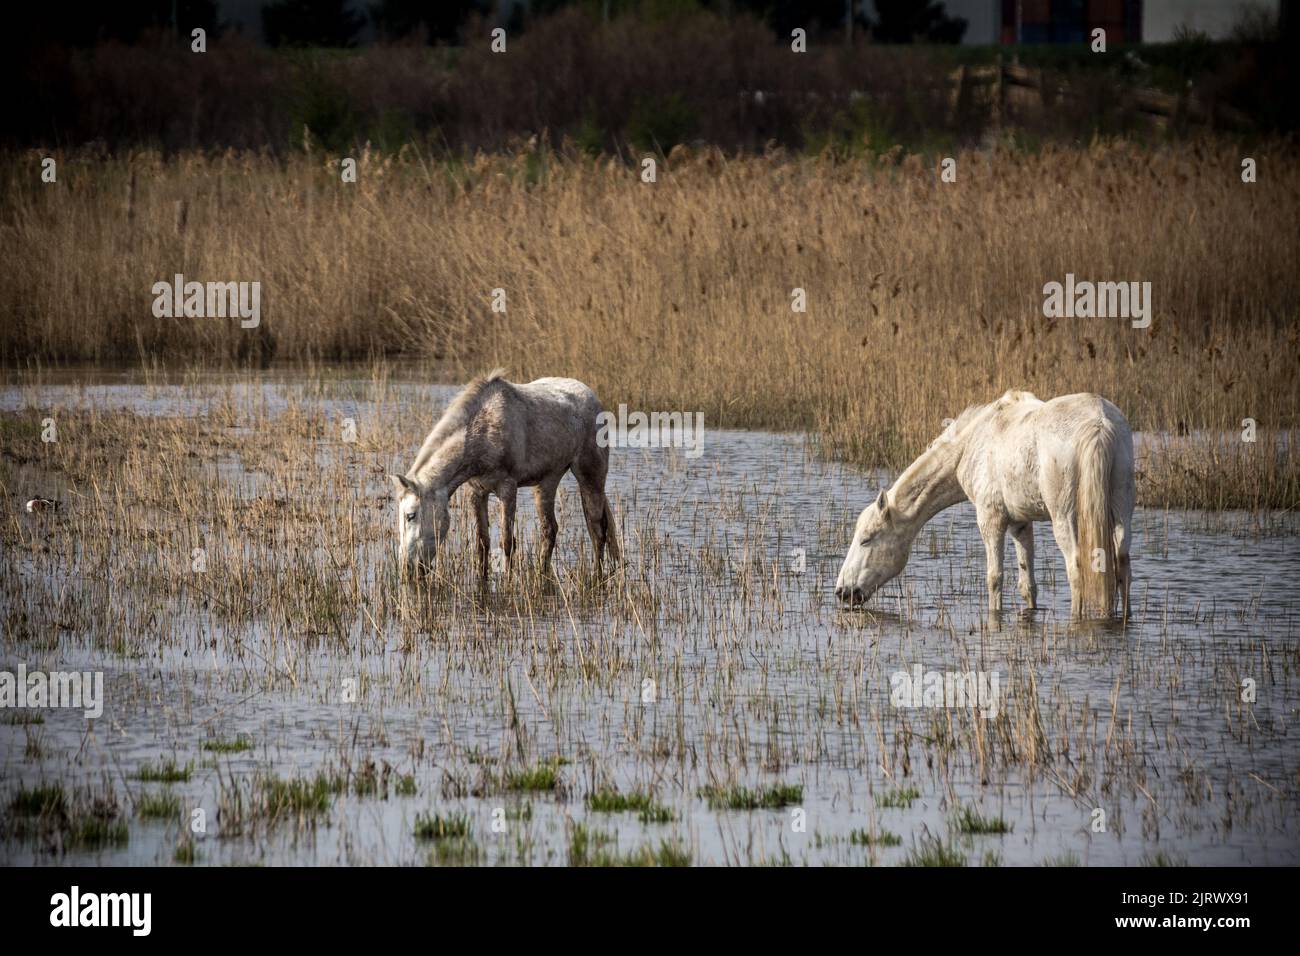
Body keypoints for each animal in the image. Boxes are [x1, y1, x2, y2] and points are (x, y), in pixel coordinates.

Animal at [389, 370, 620, 577]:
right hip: (547, 481)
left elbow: (507, 542)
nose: (406, 567)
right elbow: (482, 542)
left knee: (597, 530)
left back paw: (598, 576)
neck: (483, 429)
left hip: (590, 476)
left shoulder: (507, 489)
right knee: (550, 531)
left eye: (411, 516)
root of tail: (592, 397)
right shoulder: (477, 492)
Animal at [835, 390, 1135, 620]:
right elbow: (1027, 584)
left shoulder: (991, 520)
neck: (972, 442)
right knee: (1123, 564)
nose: (842, 592)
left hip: (1064, 518)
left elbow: (994, 578)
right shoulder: (1020, 524)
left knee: (1076, 569)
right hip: (1122, 512)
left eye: (866, 540)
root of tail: (1099, 424)